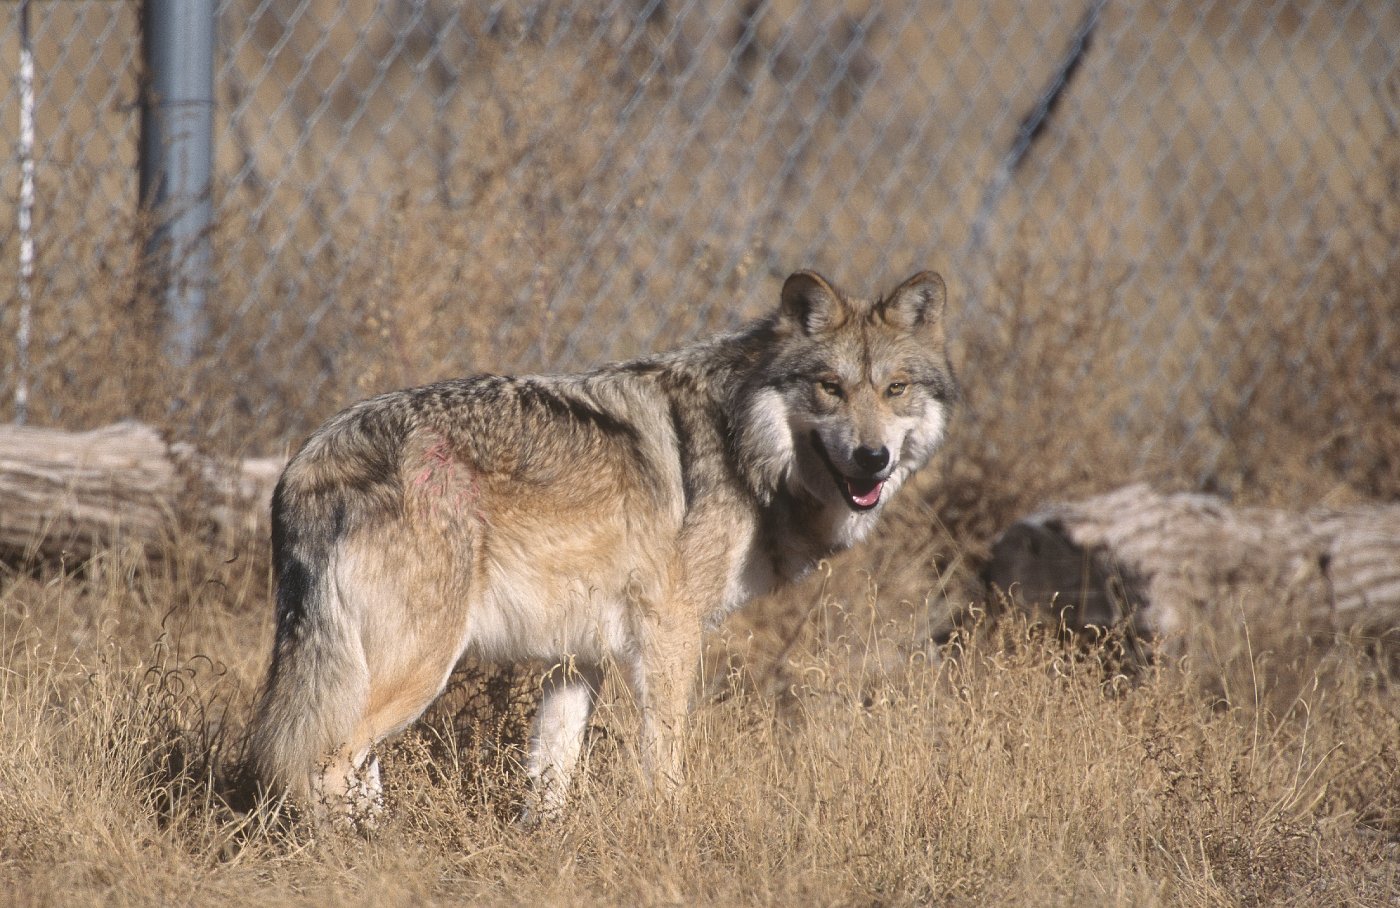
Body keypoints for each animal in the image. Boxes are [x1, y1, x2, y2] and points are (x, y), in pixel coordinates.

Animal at [249, 269, 957, 822]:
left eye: (894, 388)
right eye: (830, 387)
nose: (872, 458)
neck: (742, 443)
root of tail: (308, 462)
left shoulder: (577, 654)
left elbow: (550, 775)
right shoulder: (670, 632)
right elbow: (664, 761)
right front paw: (672, 833)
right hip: (416, 666)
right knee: (322, 765)